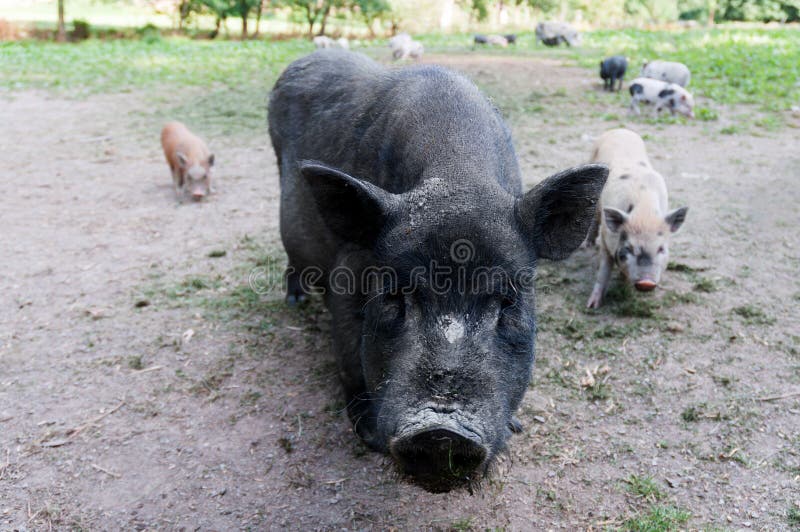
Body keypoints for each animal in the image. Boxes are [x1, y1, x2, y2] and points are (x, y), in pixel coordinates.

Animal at [269, 50, 607, 492]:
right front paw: (367, 436)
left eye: (508, 301)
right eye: (394, 294)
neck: (457, 177)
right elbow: (349, 355)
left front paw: (514, 427)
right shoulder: (348, 268)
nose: (441, 433)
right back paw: (294, 302)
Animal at [585, 128, 688, 308]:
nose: (646, 282)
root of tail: (619, 129)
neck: (644, 214)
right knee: (594, 218)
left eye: (661, 249)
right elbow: (603, 271)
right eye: (629, 248)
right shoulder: (605, 239)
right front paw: (592, 306)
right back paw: (587, 245)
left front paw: (624, 283)